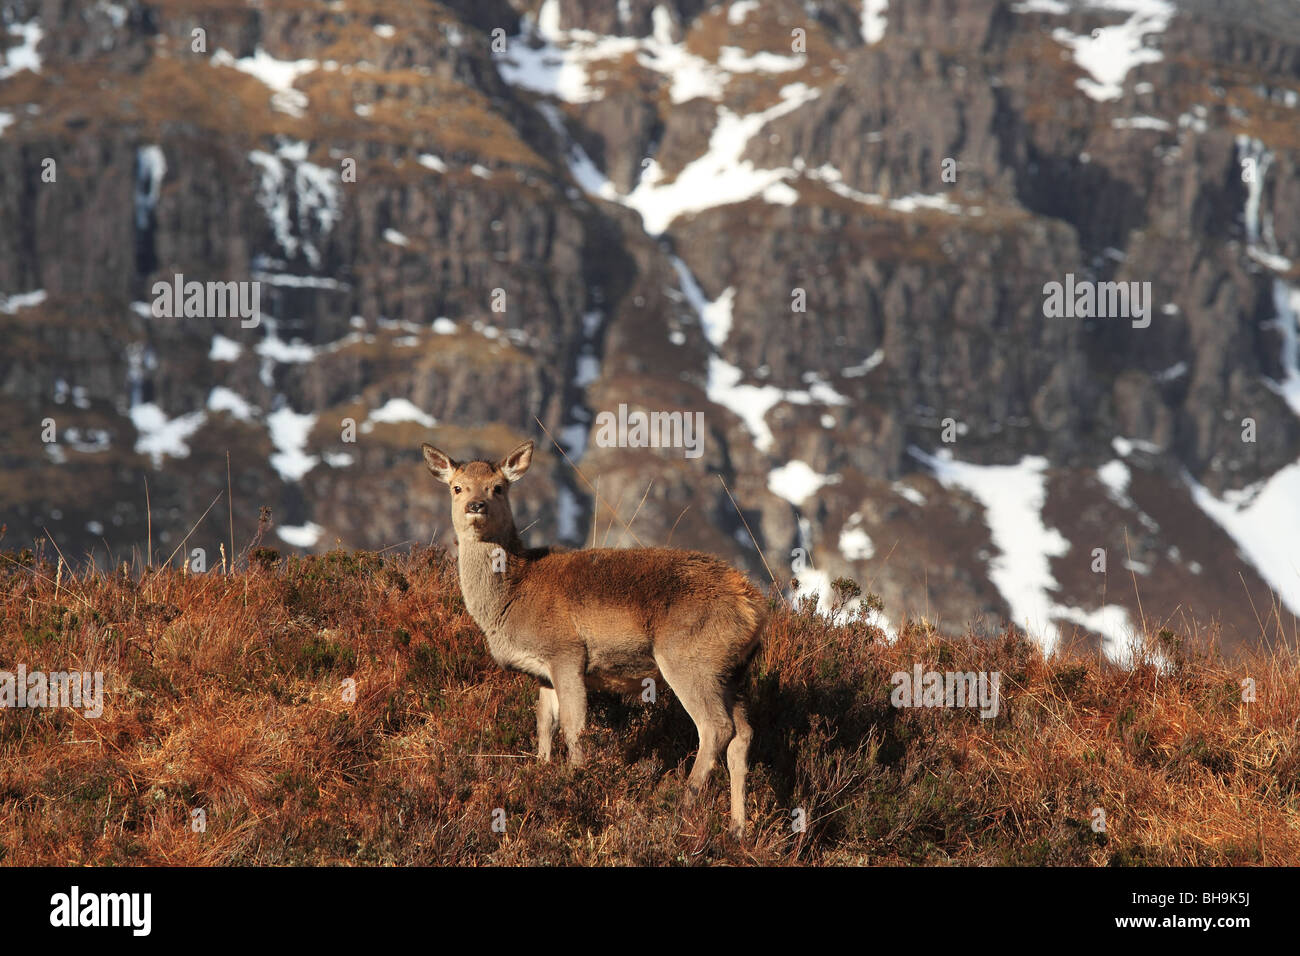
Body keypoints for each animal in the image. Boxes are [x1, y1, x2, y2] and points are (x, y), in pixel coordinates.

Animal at [420, 438, 767, 837]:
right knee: (743, 734)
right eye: (457, 487)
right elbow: (545, 726)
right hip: (733, 671)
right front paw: (541, 773)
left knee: (716, 727)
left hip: (690, 658)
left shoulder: (566, 651)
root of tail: (755, 606)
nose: (475, 505)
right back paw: (738, 828)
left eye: (498, 487)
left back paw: (682, 805)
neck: (513, 595)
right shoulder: (542, 672)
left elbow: (574, 727)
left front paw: (576, 781)